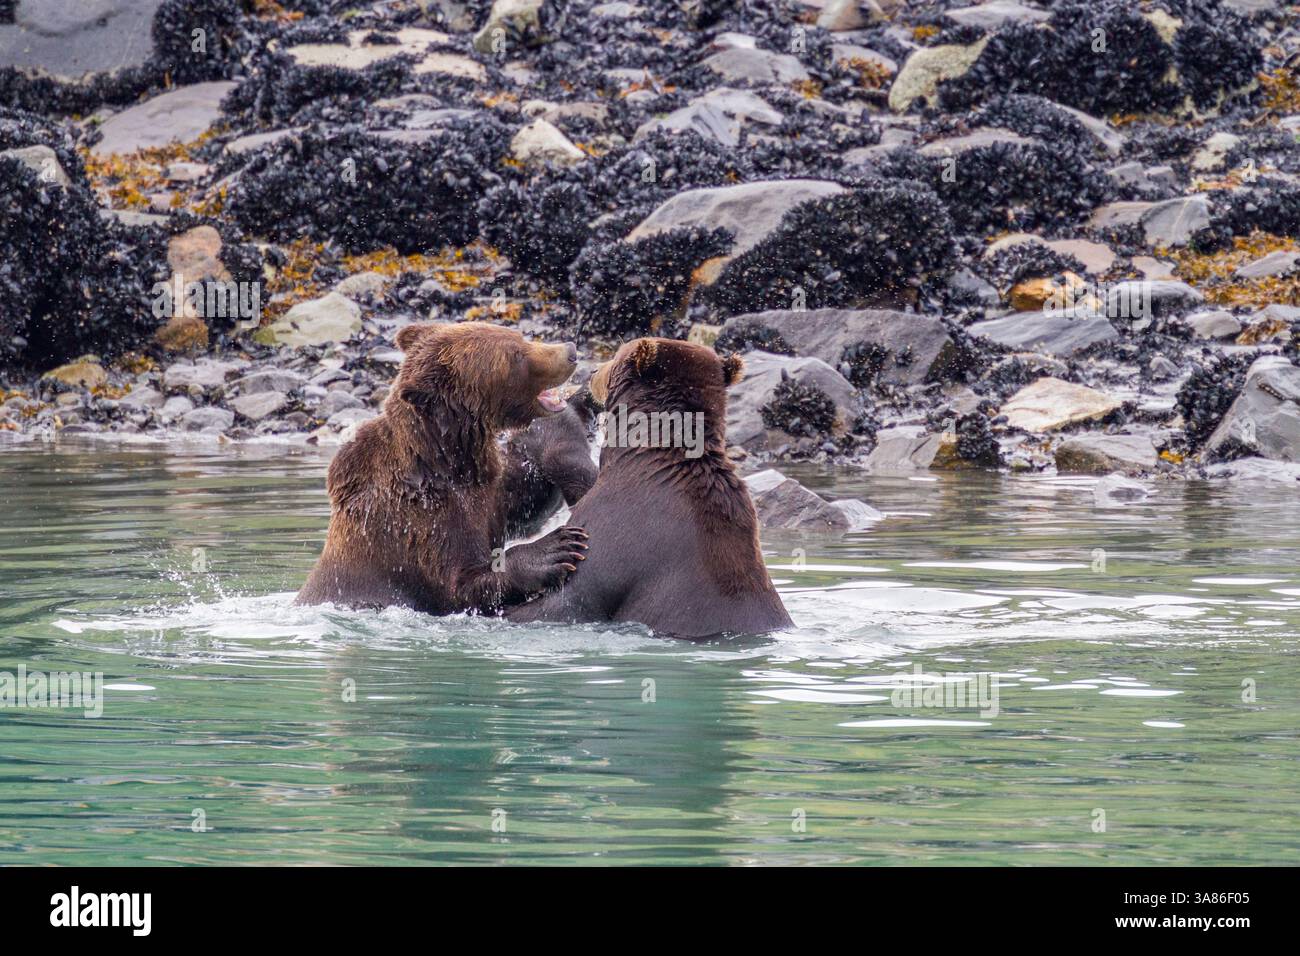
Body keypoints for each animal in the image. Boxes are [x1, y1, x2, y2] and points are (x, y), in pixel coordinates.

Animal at [297, 321, 589, 615]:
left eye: (518, 336)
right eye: (515, 355)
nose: (570, 351)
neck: (447, 459)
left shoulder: (486, 490)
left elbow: (525, 504)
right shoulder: (417, 521)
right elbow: (460, 586)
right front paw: (555, 548)